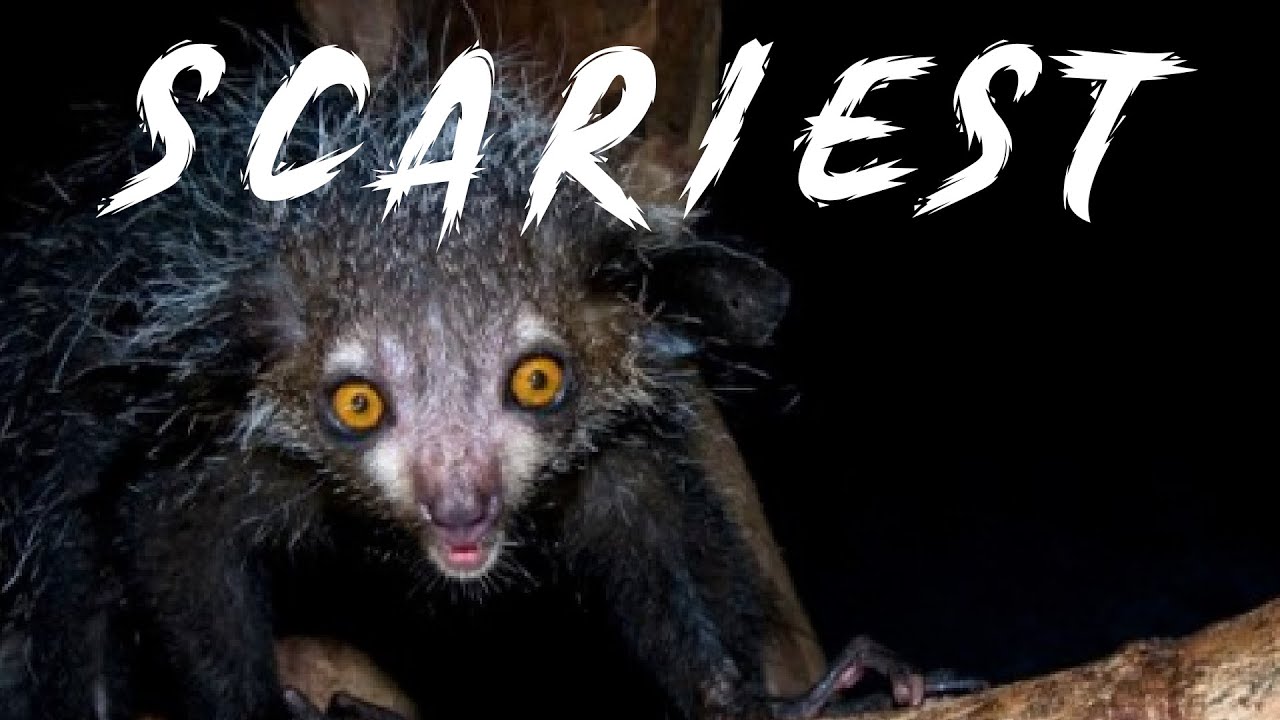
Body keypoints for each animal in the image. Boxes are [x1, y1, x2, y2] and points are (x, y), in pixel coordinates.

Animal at [0, 27, 984, 720]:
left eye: (537, 380)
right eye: (357, 402)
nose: (461, 510)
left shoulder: (613, 445)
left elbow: (655, 528)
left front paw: (753, 699)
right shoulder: (213, 445)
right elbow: (169, 543)